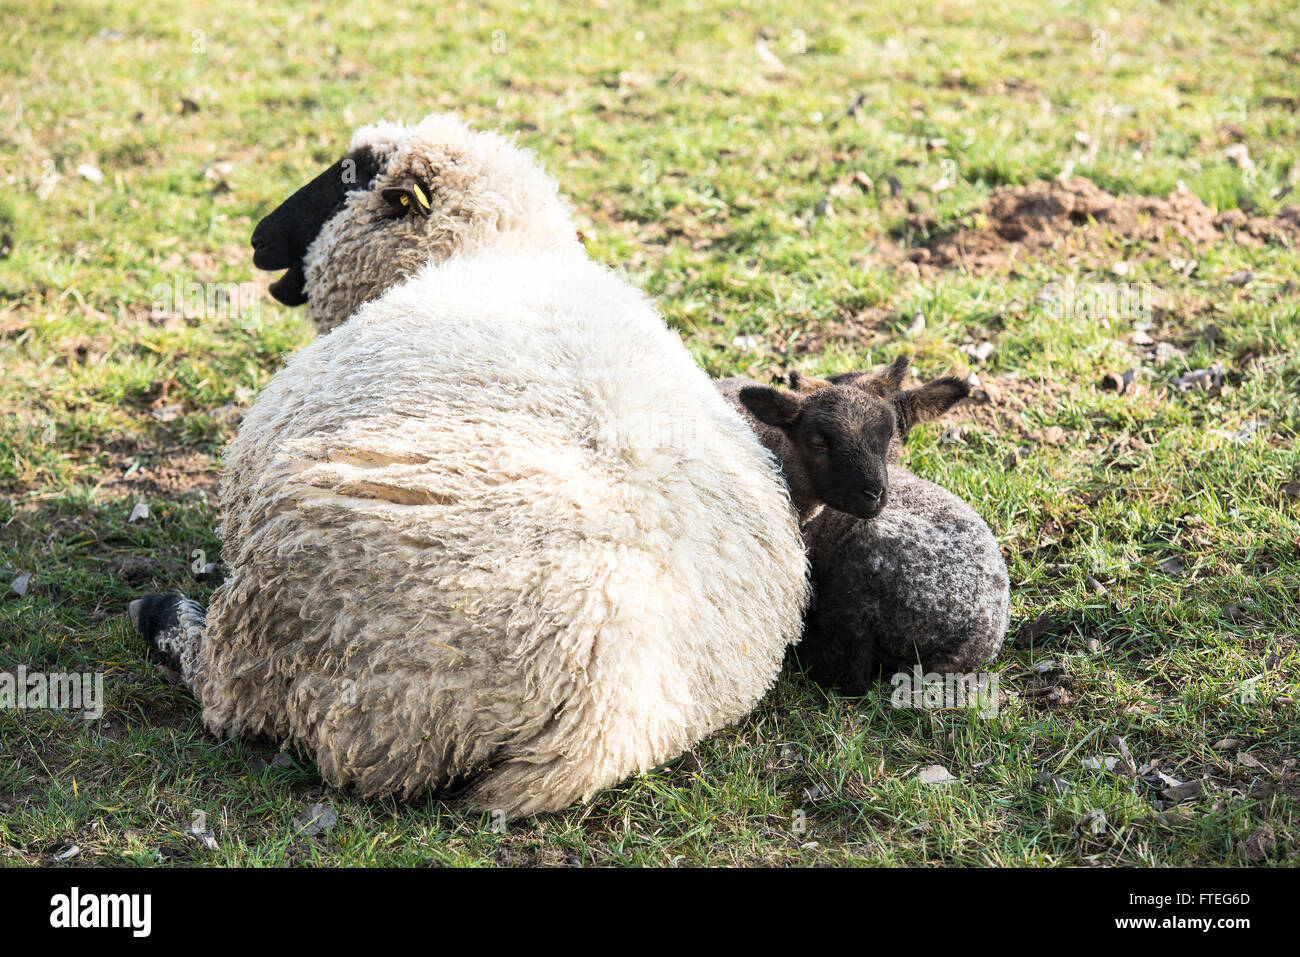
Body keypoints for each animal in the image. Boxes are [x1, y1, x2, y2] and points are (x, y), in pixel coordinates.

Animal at [130, 113, 809, 819]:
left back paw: (159, 615)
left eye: (347, 177)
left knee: (227, 686)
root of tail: (592, 725)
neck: (487, 249)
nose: (258, 238)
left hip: (306, 623)